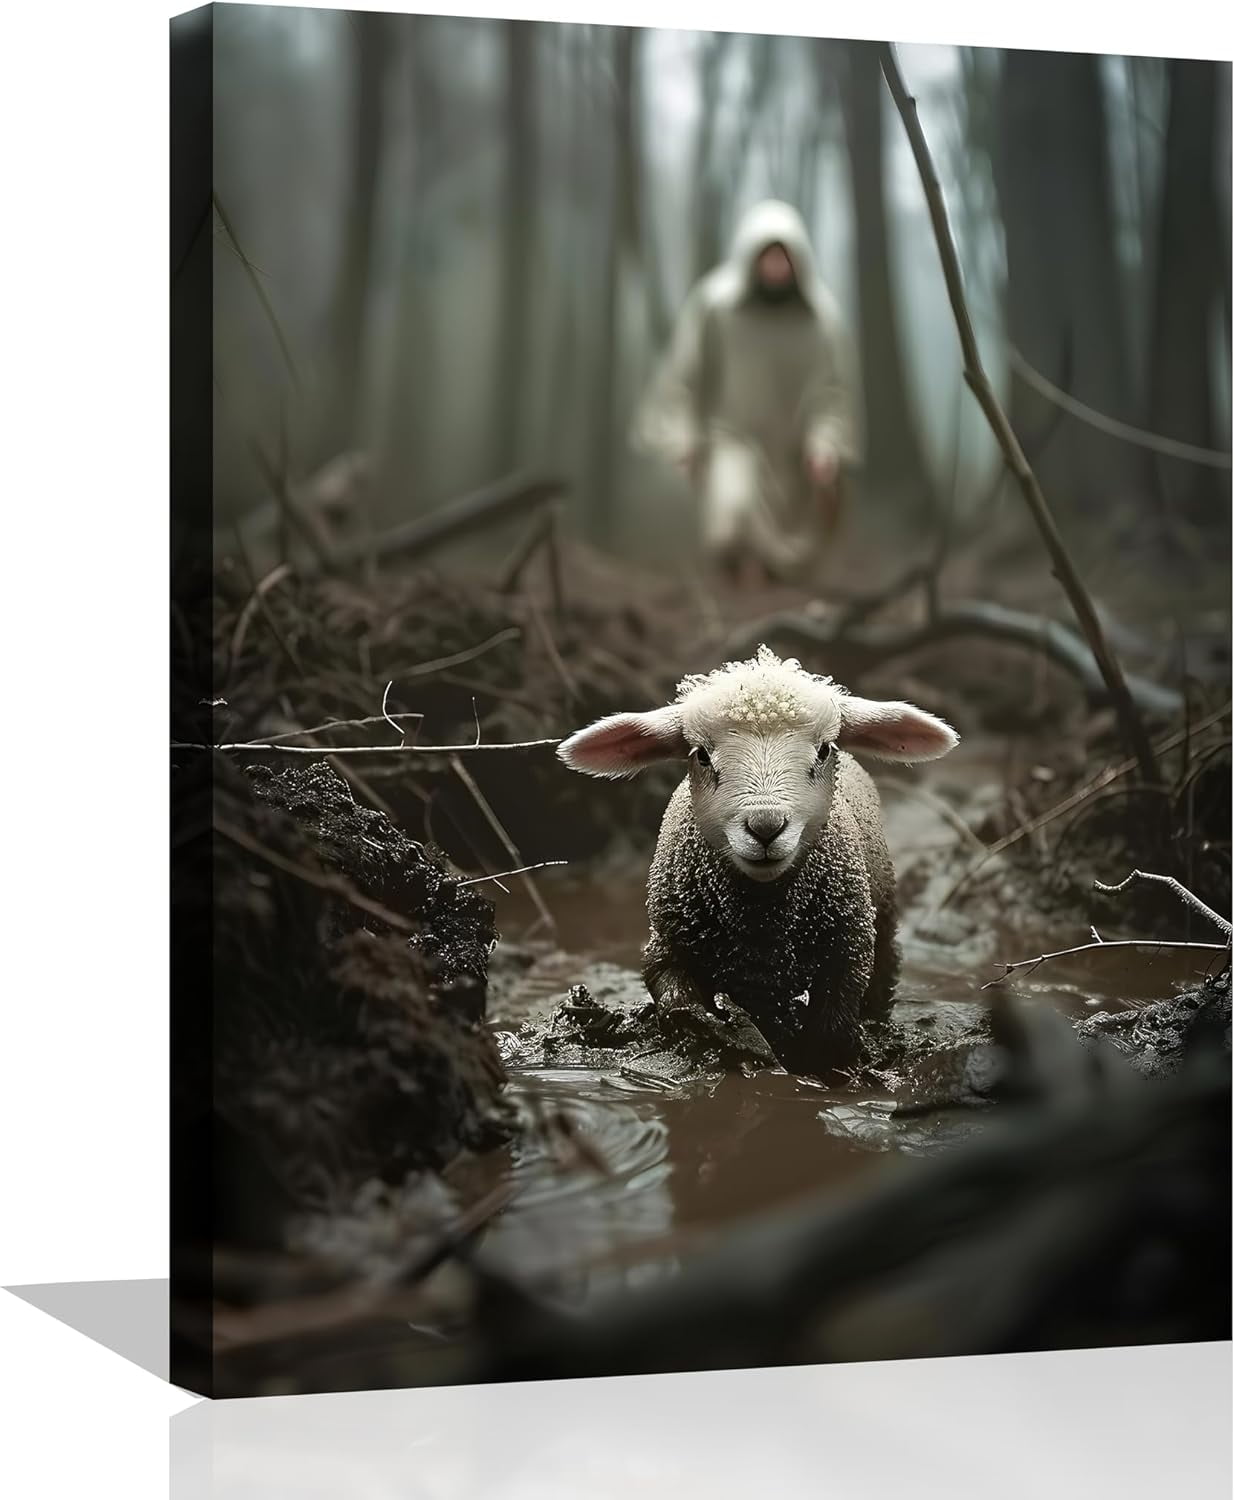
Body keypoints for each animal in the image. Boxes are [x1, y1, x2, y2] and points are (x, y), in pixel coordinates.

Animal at [556, 645, 959, 1073]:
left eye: (823, 750)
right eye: (701, 756)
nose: (765, 826)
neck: (762, 920)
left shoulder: (848, 952)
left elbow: (831, 1034)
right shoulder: (666, 949)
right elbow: (680, 1006)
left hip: (881, 923)